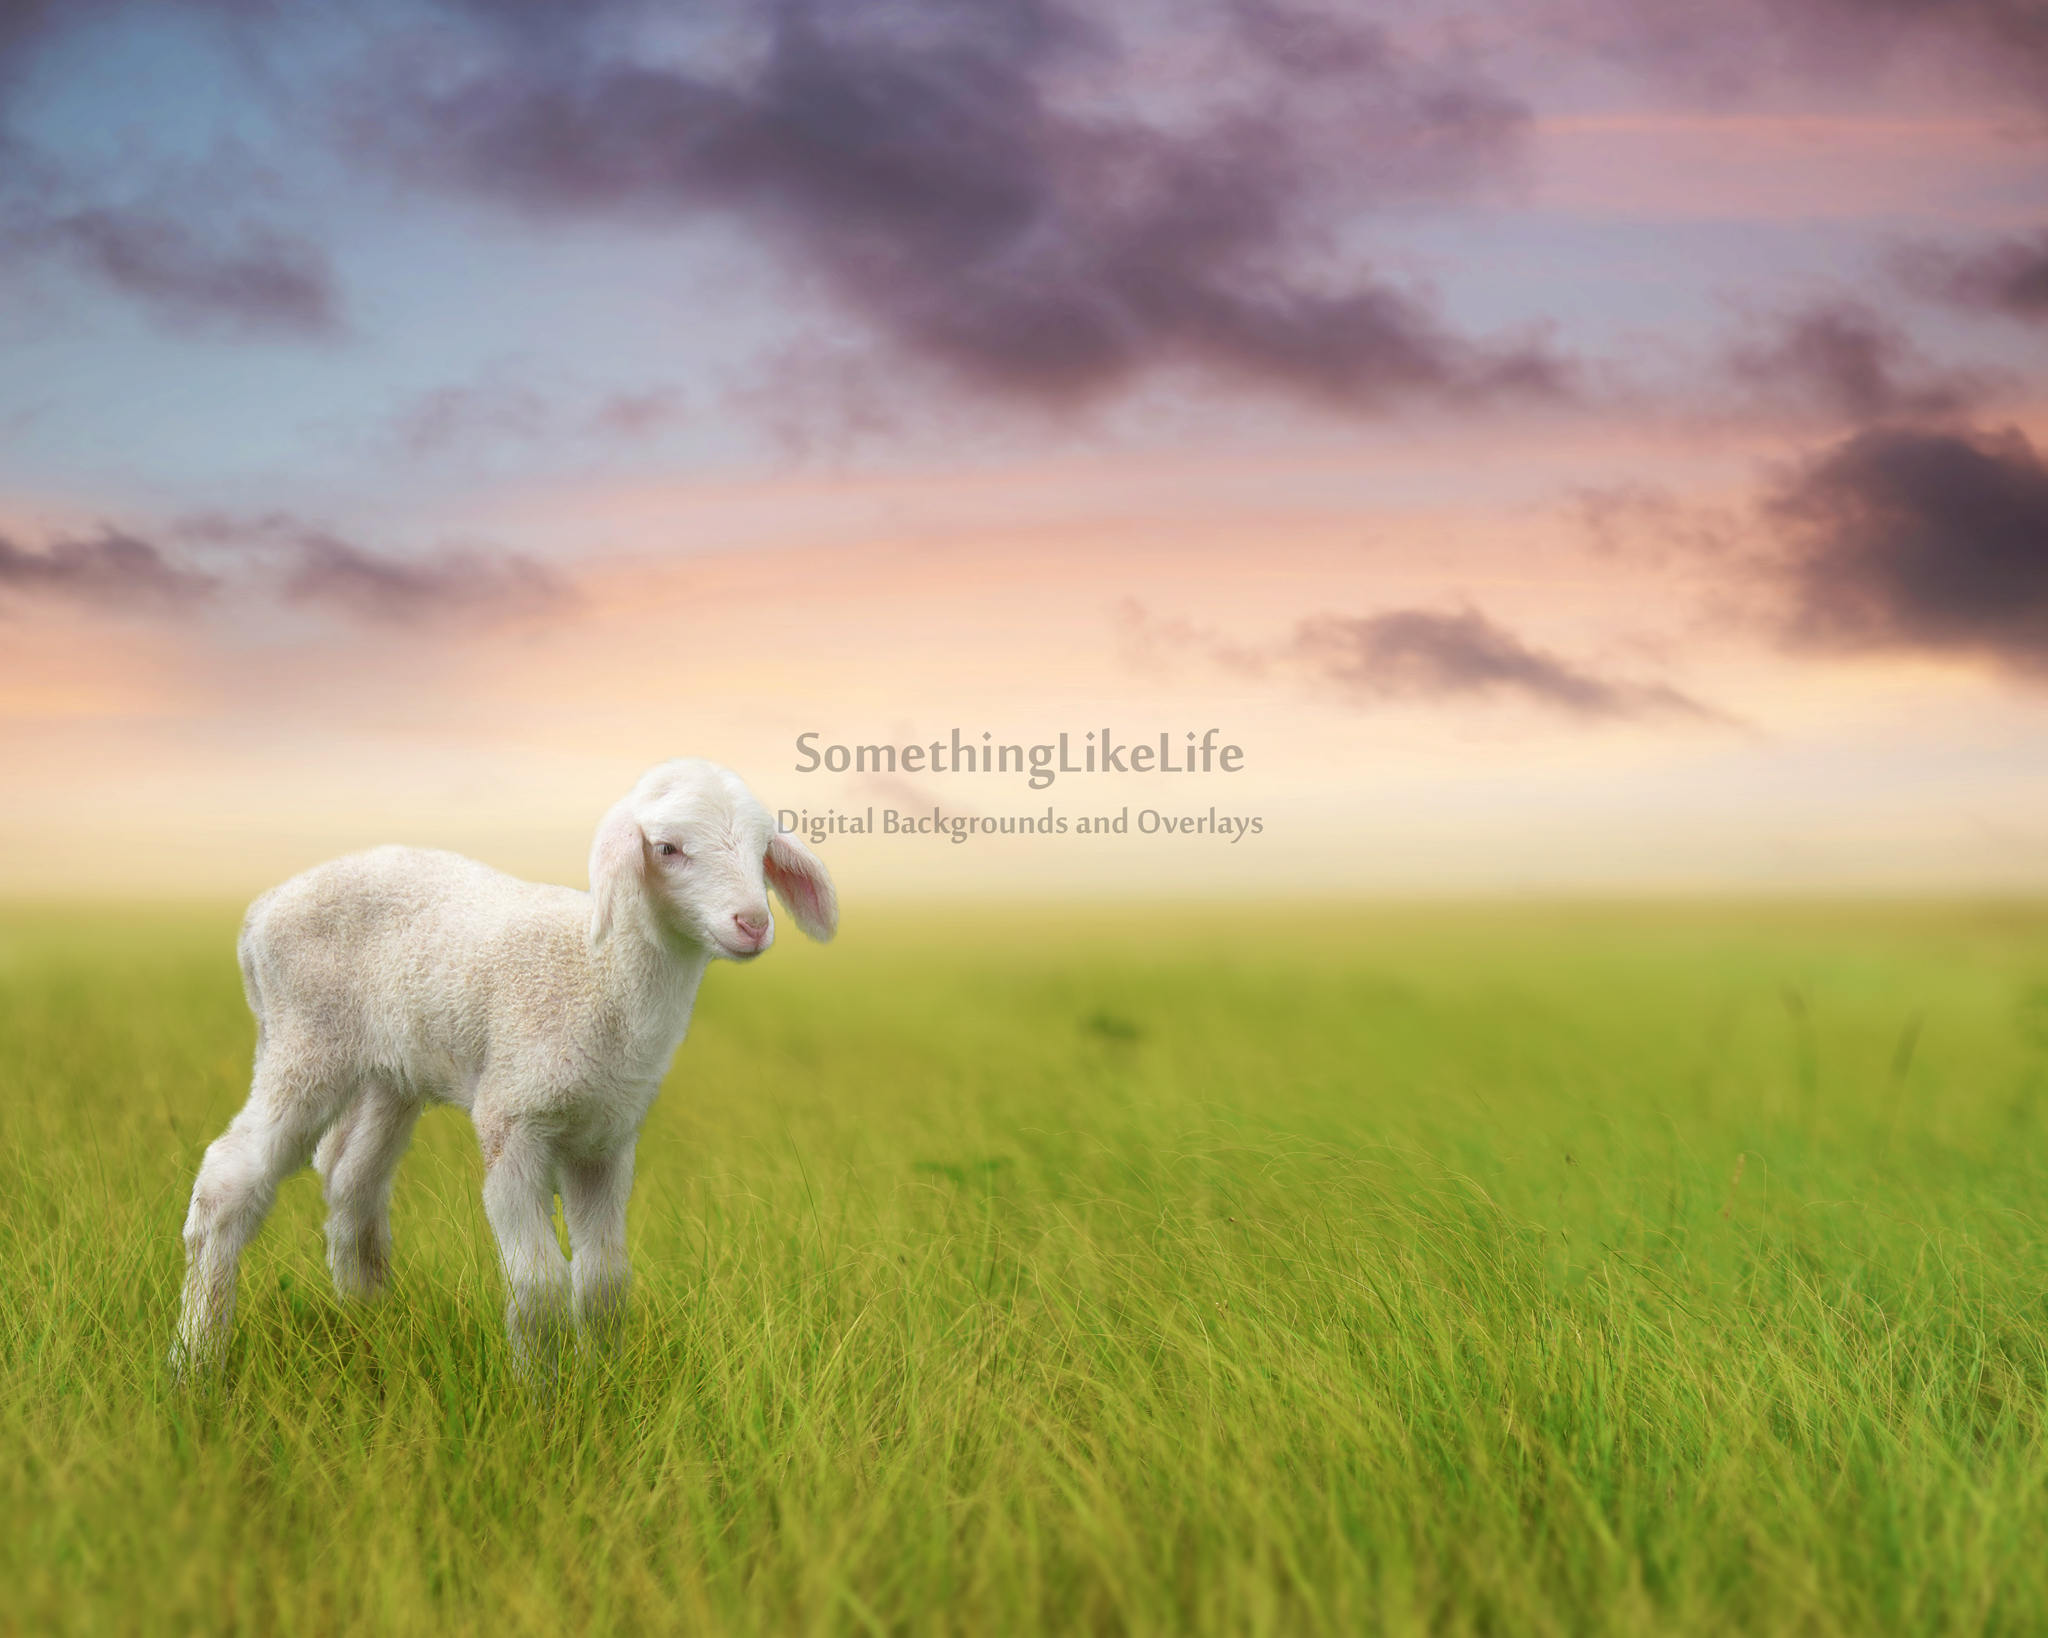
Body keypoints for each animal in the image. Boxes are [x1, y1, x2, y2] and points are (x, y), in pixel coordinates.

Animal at [171, 758, 837, 1376]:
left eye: (762, 849)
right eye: (669, 848)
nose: (752, 923)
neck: (601, 979)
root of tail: (260, 912)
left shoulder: (606, 1137)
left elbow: (604, 1281)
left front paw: (600, 1381)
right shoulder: (512, 1118)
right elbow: (540, 1283)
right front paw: (539, 1394)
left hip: (391, 1070)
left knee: (351, 1179)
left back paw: (368, 1319)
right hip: (306, 1041)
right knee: (227, 1180)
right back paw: (196, 1356)